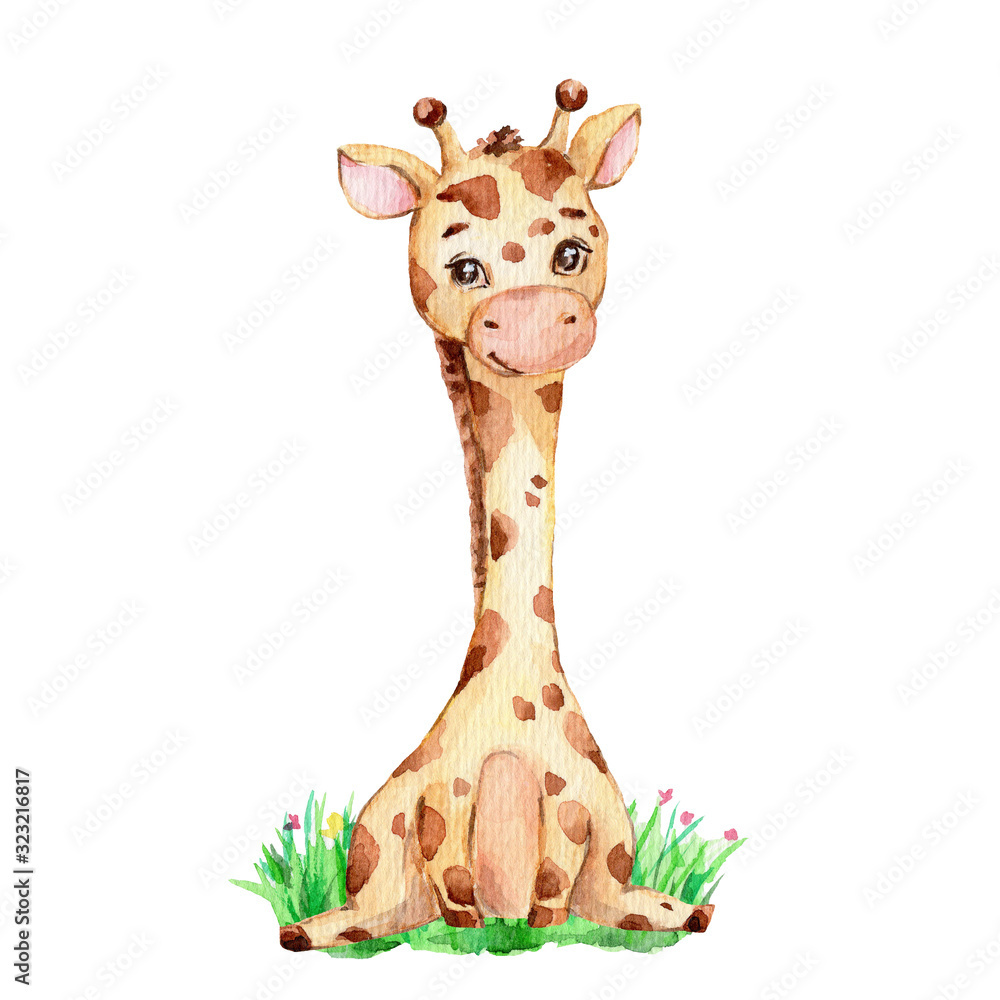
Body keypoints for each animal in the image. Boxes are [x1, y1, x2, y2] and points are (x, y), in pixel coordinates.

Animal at [279, 80, 714, 951]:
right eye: (464, 267)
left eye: (573, 253)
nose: (536, 319)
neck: (510, 712)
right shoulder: (438, 806)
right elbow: (456, 887)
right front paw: (479, 927)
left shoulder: (582, 816)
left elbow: (553, 891)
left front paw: (530, 924)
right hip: (375, 869)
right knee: (349, 921)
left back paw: (690, 909)